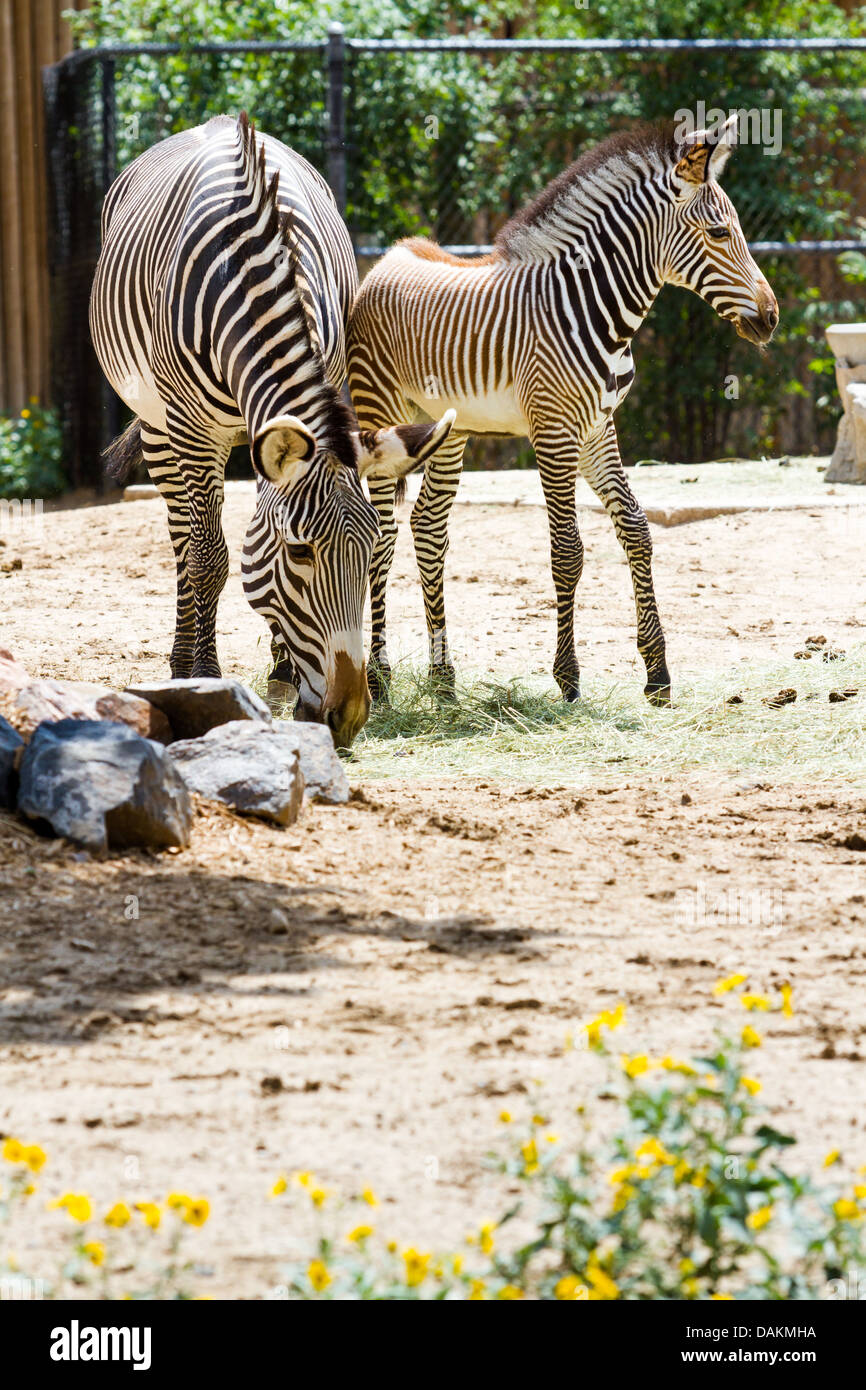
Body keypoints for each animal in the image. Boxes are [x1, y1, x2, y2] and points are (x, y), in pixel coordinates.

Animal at [91, 113, 453, 747]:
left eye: (365, 553)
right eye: (300, 552)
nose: (348, 717)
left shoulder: (326, 388)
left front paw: (284, 668)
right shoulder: (191, 427)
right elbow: (209, 559)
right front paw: (206, 678)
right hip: (160, 426)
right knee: (182, 538)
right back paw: (182, 661)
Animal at [347, 114, 778, 707]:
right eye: (719, 233)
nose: (772, 318)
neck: (597, 311)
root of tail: (393, 252)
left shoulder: (599, 428)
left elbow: (636, 530)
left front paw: (657, 673)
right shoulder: (553, 432)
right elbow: (568, 550)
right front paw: (569, 676)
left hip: (448, 429)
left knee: (429, 526)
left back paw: (442, 679)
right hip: (379, 407)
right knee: (381, 535)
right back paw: (379, 679)